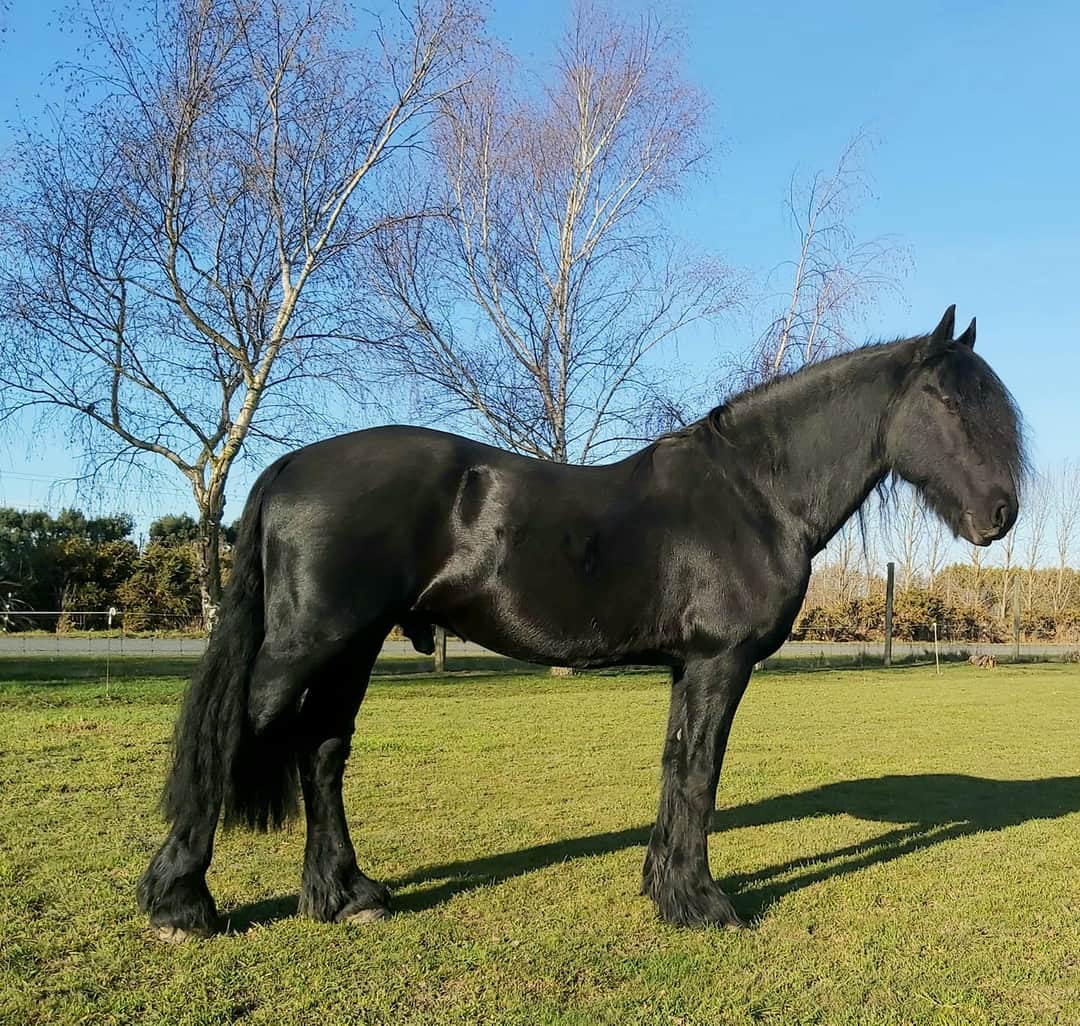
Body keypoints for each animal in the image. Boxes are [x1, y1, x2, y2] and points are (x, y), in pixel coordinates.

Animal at [138, 306, 1025, 939]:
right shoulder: (720, 661)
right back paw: (181, 905)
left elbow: (675, 768)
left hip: (351, 646)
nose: (1000, 513)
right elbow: (701, 773)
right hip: (307, 644)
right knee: (234, 738)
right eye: (947, 399)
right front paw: (706, 904)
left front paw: (666, 891)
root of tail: (291, 463)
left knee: (321, 752)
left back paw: (346, 894)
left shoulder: (687, 665)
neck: (753, 494)